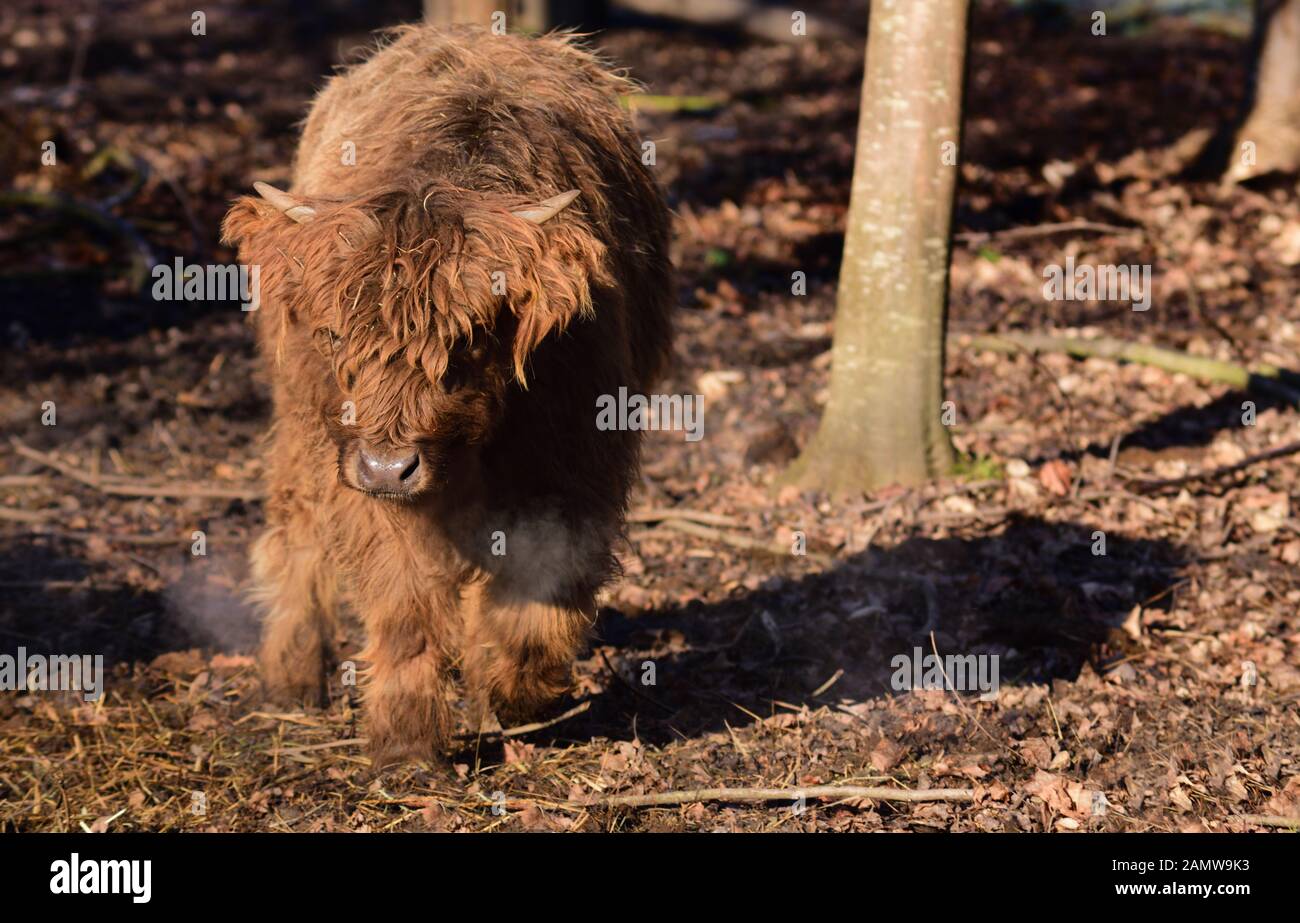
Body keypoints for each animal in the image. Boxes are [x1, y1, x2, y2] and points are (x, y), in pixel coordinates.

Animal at [221, 24, 673, 766]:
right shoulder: (365, 483)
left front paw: (517, 690)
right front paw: (407, 741)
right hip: (303, 425)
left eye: (471, 338)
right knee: (297, 526)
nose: (387, 467)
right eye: (336, 333)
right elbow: (403, 602)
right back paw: (291, 673)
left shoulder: (578, 455)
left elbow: (548, 572)